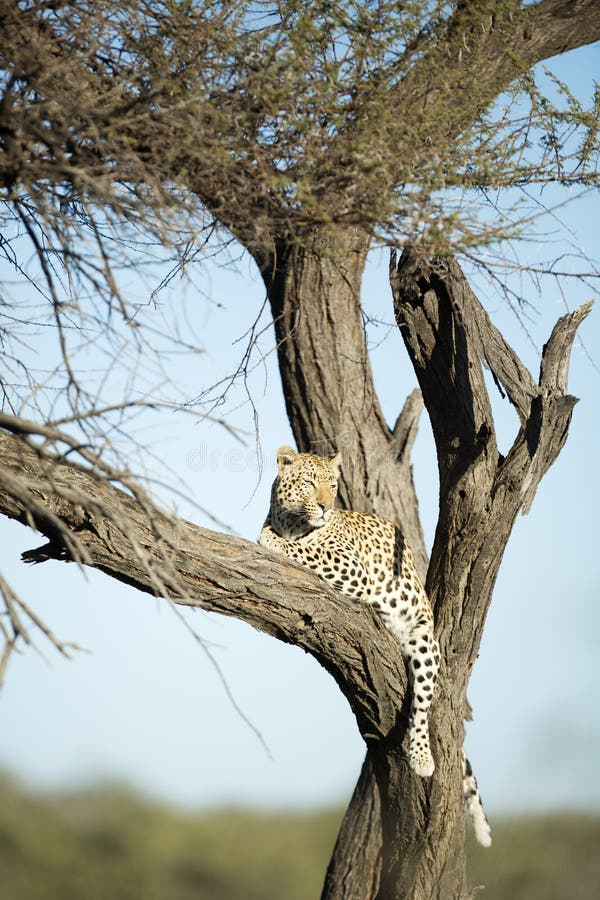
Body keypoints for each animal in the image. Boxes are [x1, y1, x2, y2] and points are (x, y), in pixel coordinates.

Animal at [258, 445, 492, 845]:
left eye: (333, 485)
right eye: (310, 483)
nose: (325, 507)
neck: (290, 519)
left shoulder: (354, 568)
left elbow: (305, 551)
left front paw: (271, 539)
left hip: (424, 641)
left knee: (421, 707)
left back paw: (422, 757)